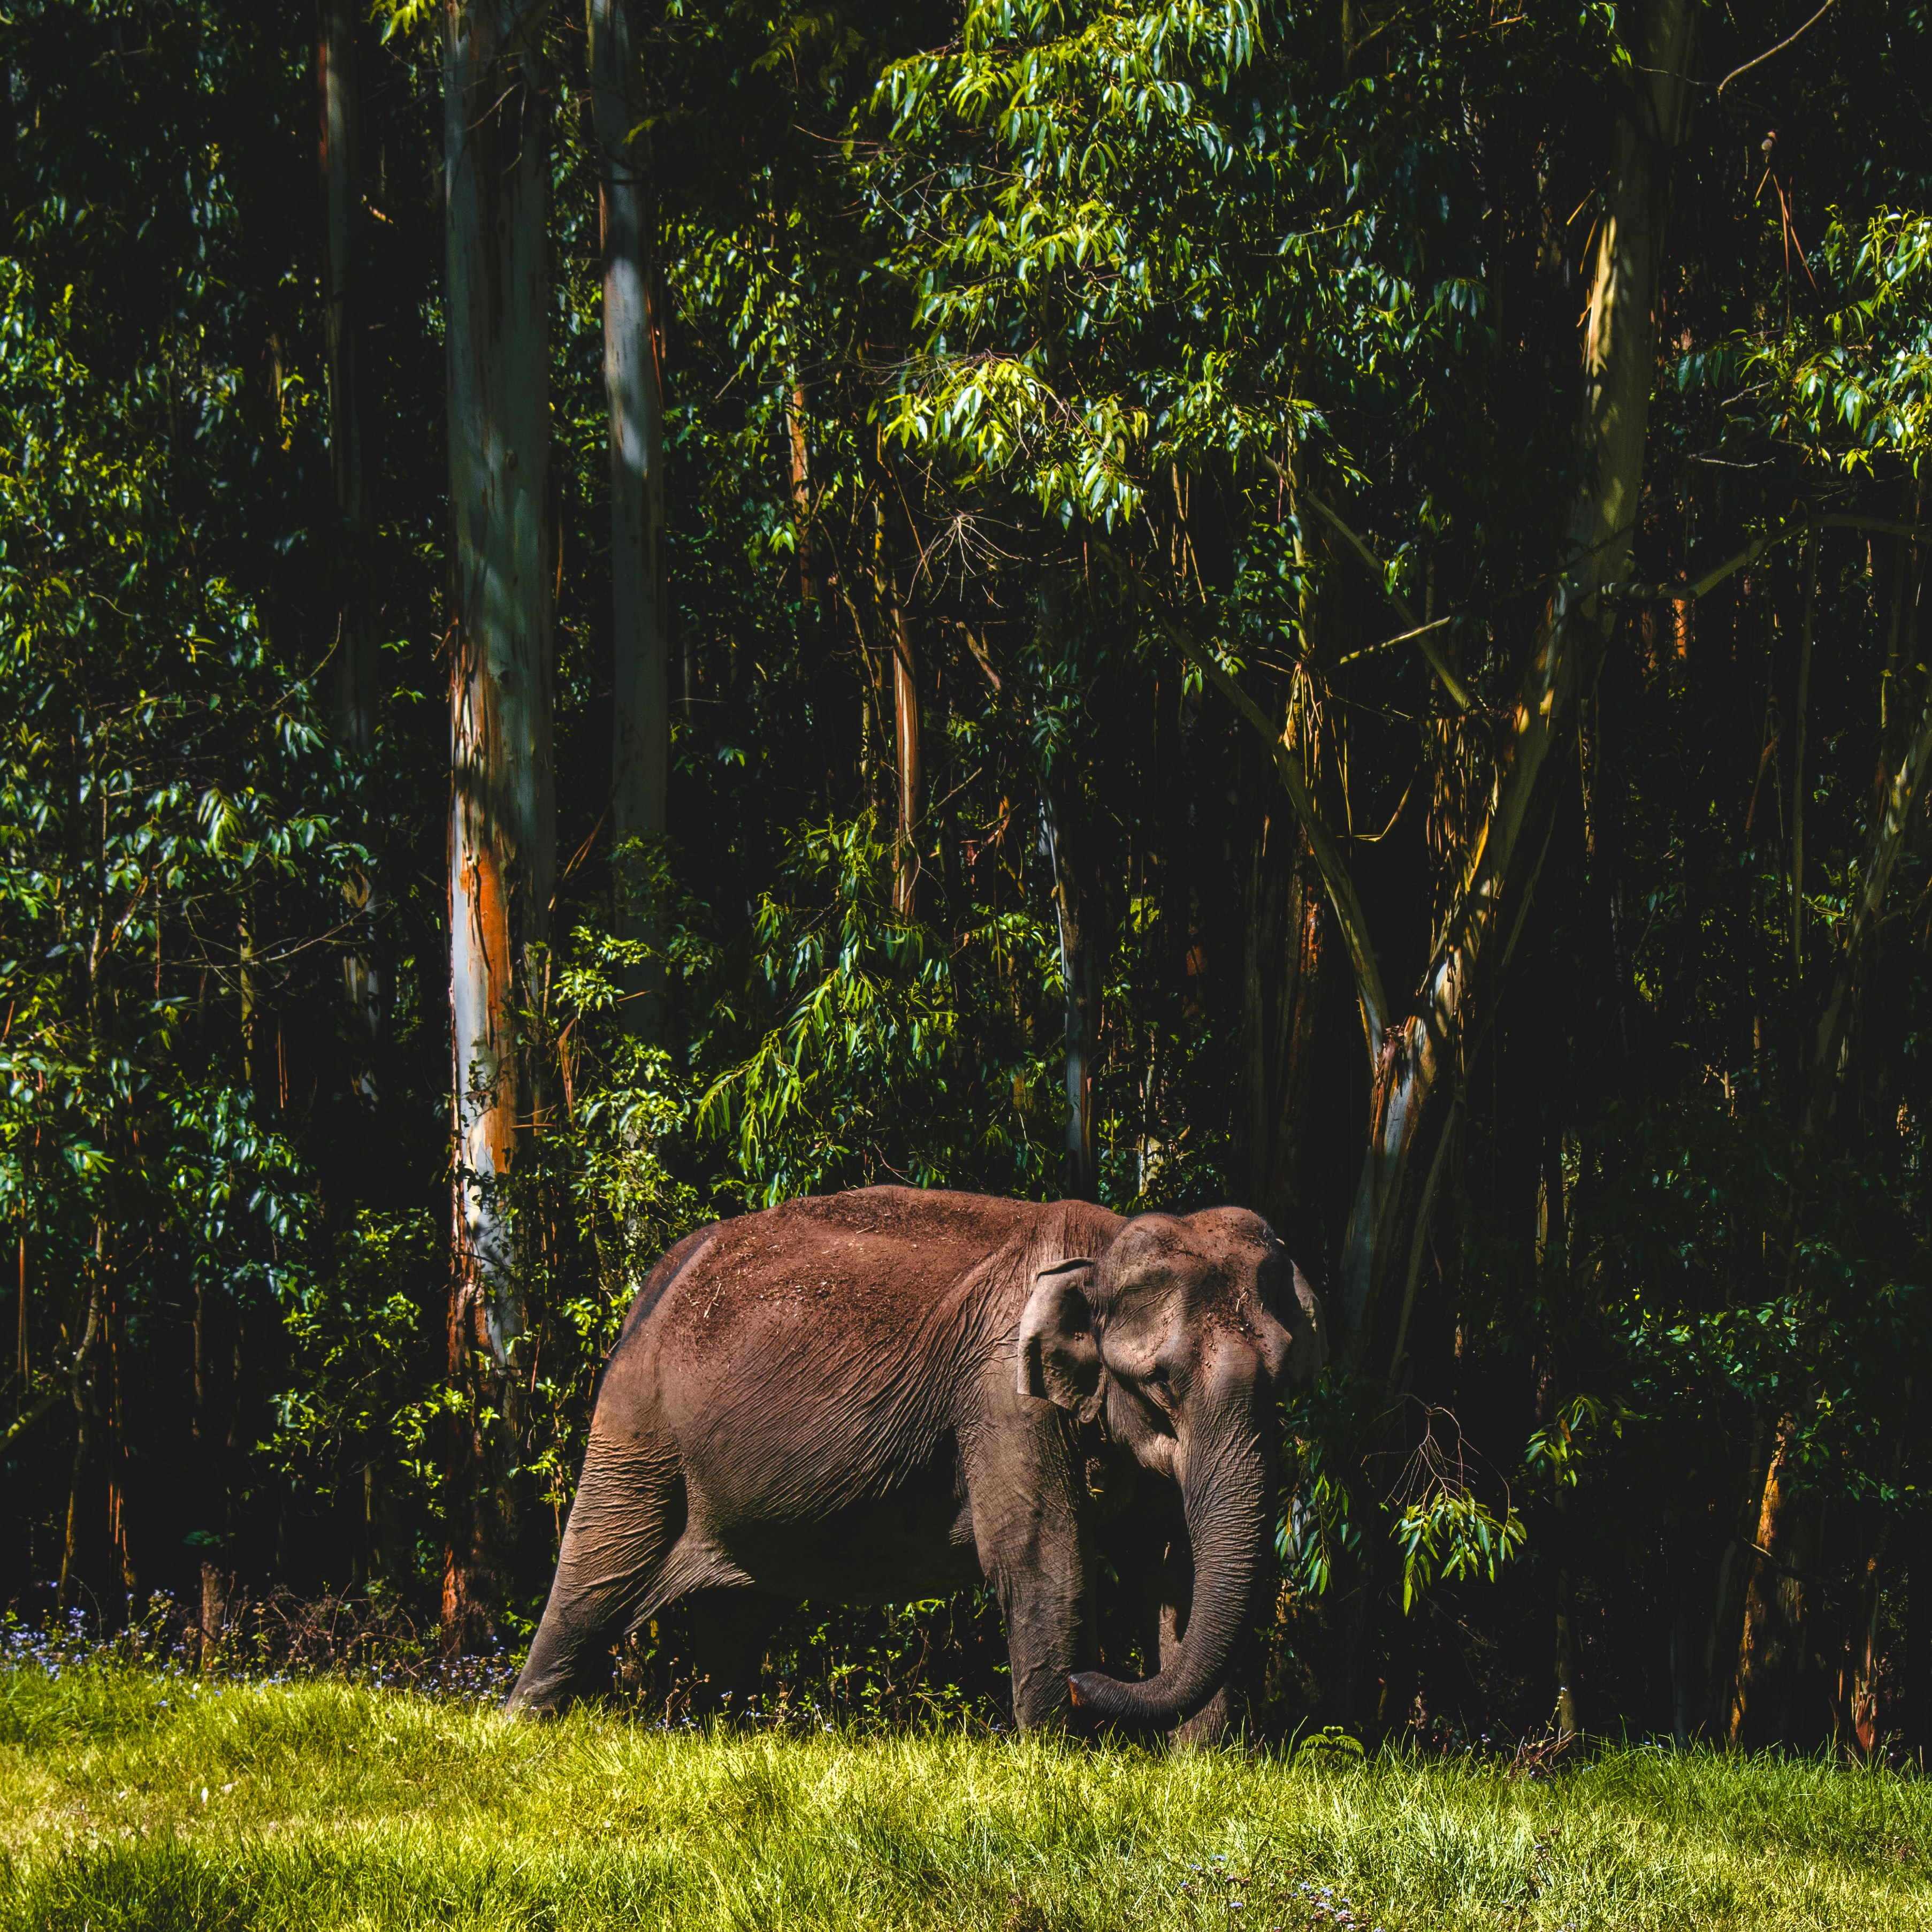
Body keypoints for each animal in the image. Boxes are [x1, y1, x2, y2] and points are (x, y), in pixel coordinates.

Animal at [504, 1184, 1325, 1731]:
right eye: (1158, 1381)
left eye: (1286, 1377)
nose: (1085, 1679)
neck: (1101, 1246)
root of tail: (656, 1278)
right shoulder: (1001, 1394)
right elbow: (1042, 1559)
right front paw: (1059, 1763)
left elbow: (1174, 1568)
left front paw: (1199, 1768)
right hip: (637, 1430)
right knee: (592, 1580)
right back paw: (519, 1729)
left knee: (735, 1618)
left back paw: (720, 1734)